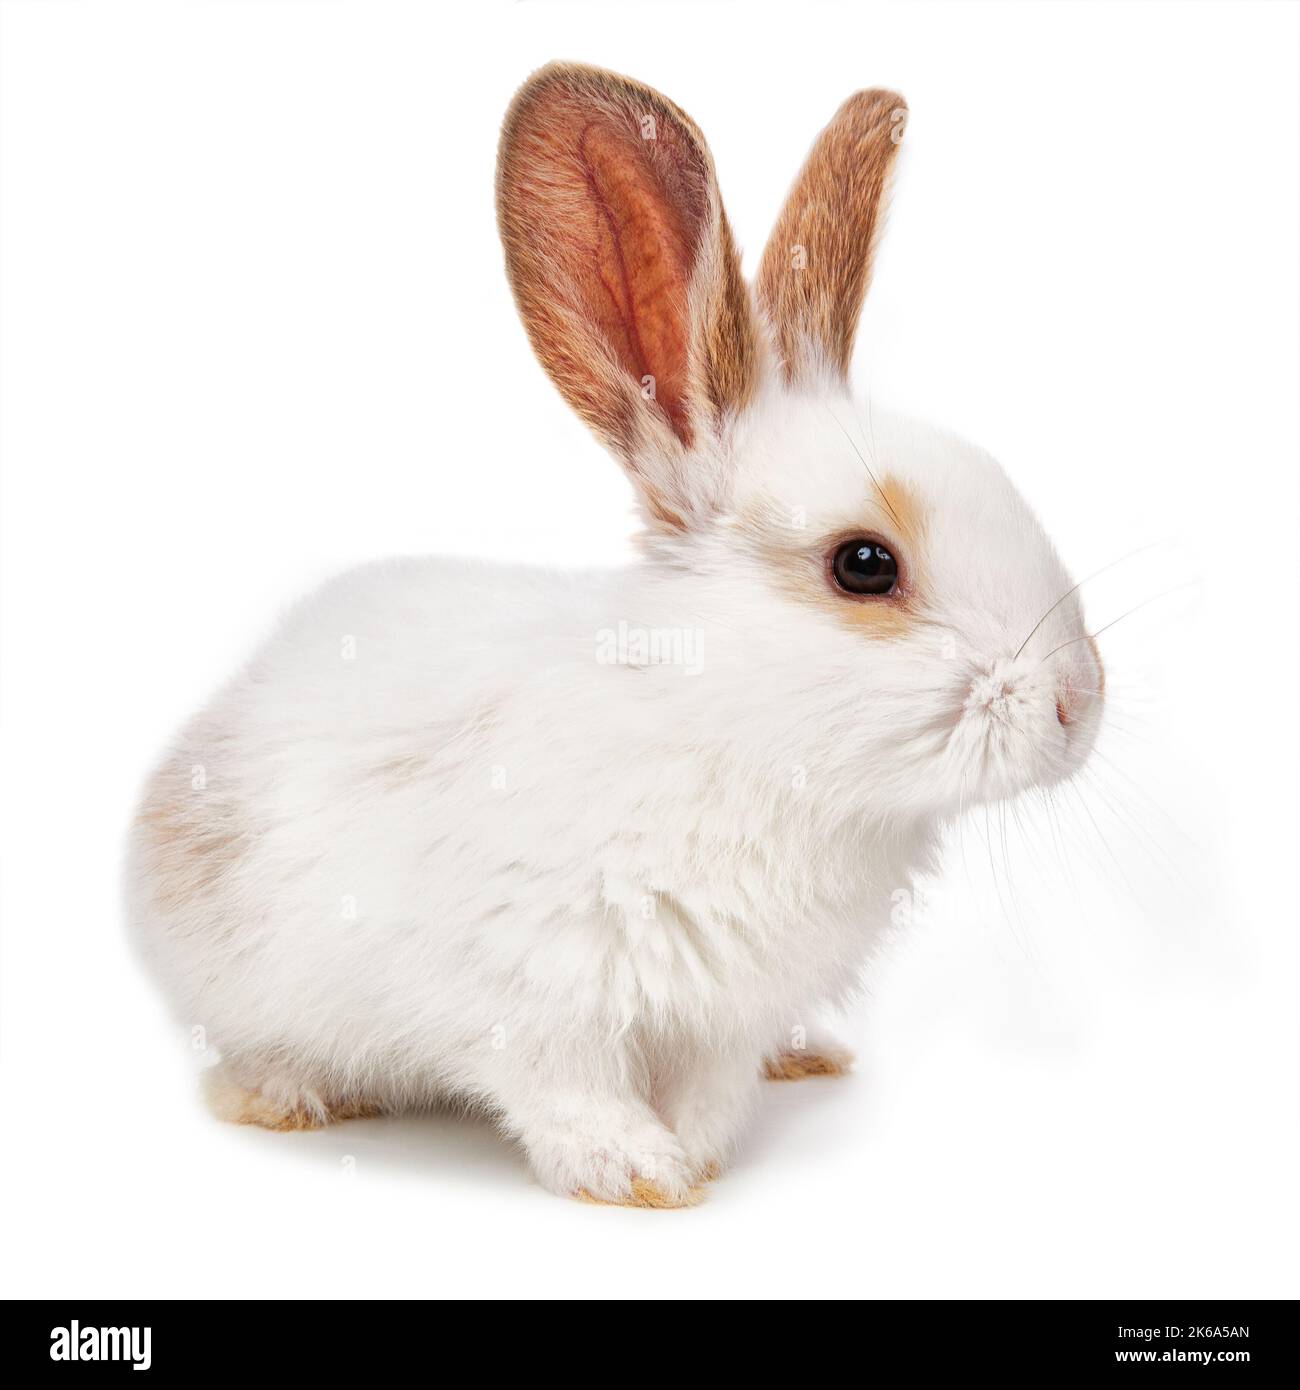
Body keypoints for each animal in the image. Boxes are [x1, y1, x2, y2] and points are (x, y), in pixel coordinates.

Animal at [127, 62, 1104, 1206]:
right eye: (864, 565)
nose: (1077, 704)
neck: (727, 734)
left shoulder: (726, 1014)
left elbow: (712, 1083)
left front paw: (700, 1150)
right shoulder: (529, 988)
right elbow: (565, 1089)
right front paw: (642, 1173)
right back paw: (284, 1096)